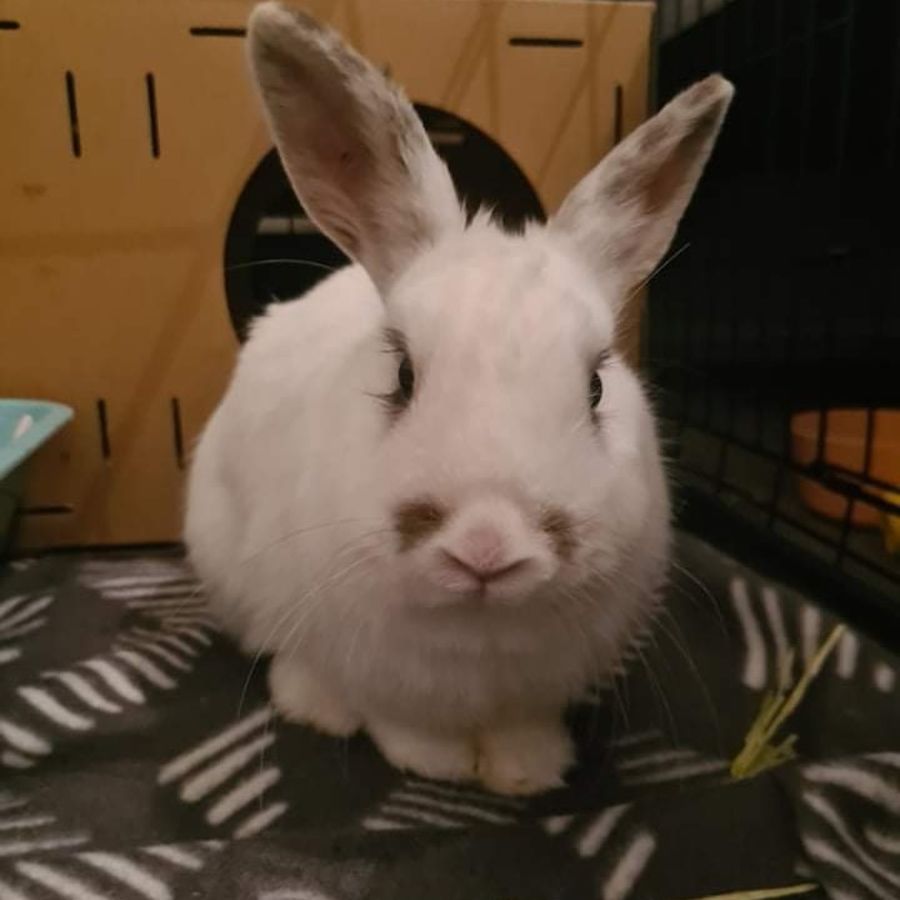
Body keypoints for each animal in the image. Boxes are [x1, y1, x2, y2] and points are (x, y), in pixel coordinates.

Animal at [185, 0, 733, 795]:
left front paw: (528, 772)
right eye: (402, 376)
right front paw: (437, 765)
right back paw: (317, 705)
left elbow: (521, 732)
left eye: (596, 386)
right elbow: (406, 726)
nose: (487, 546)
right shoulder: (385, 678)